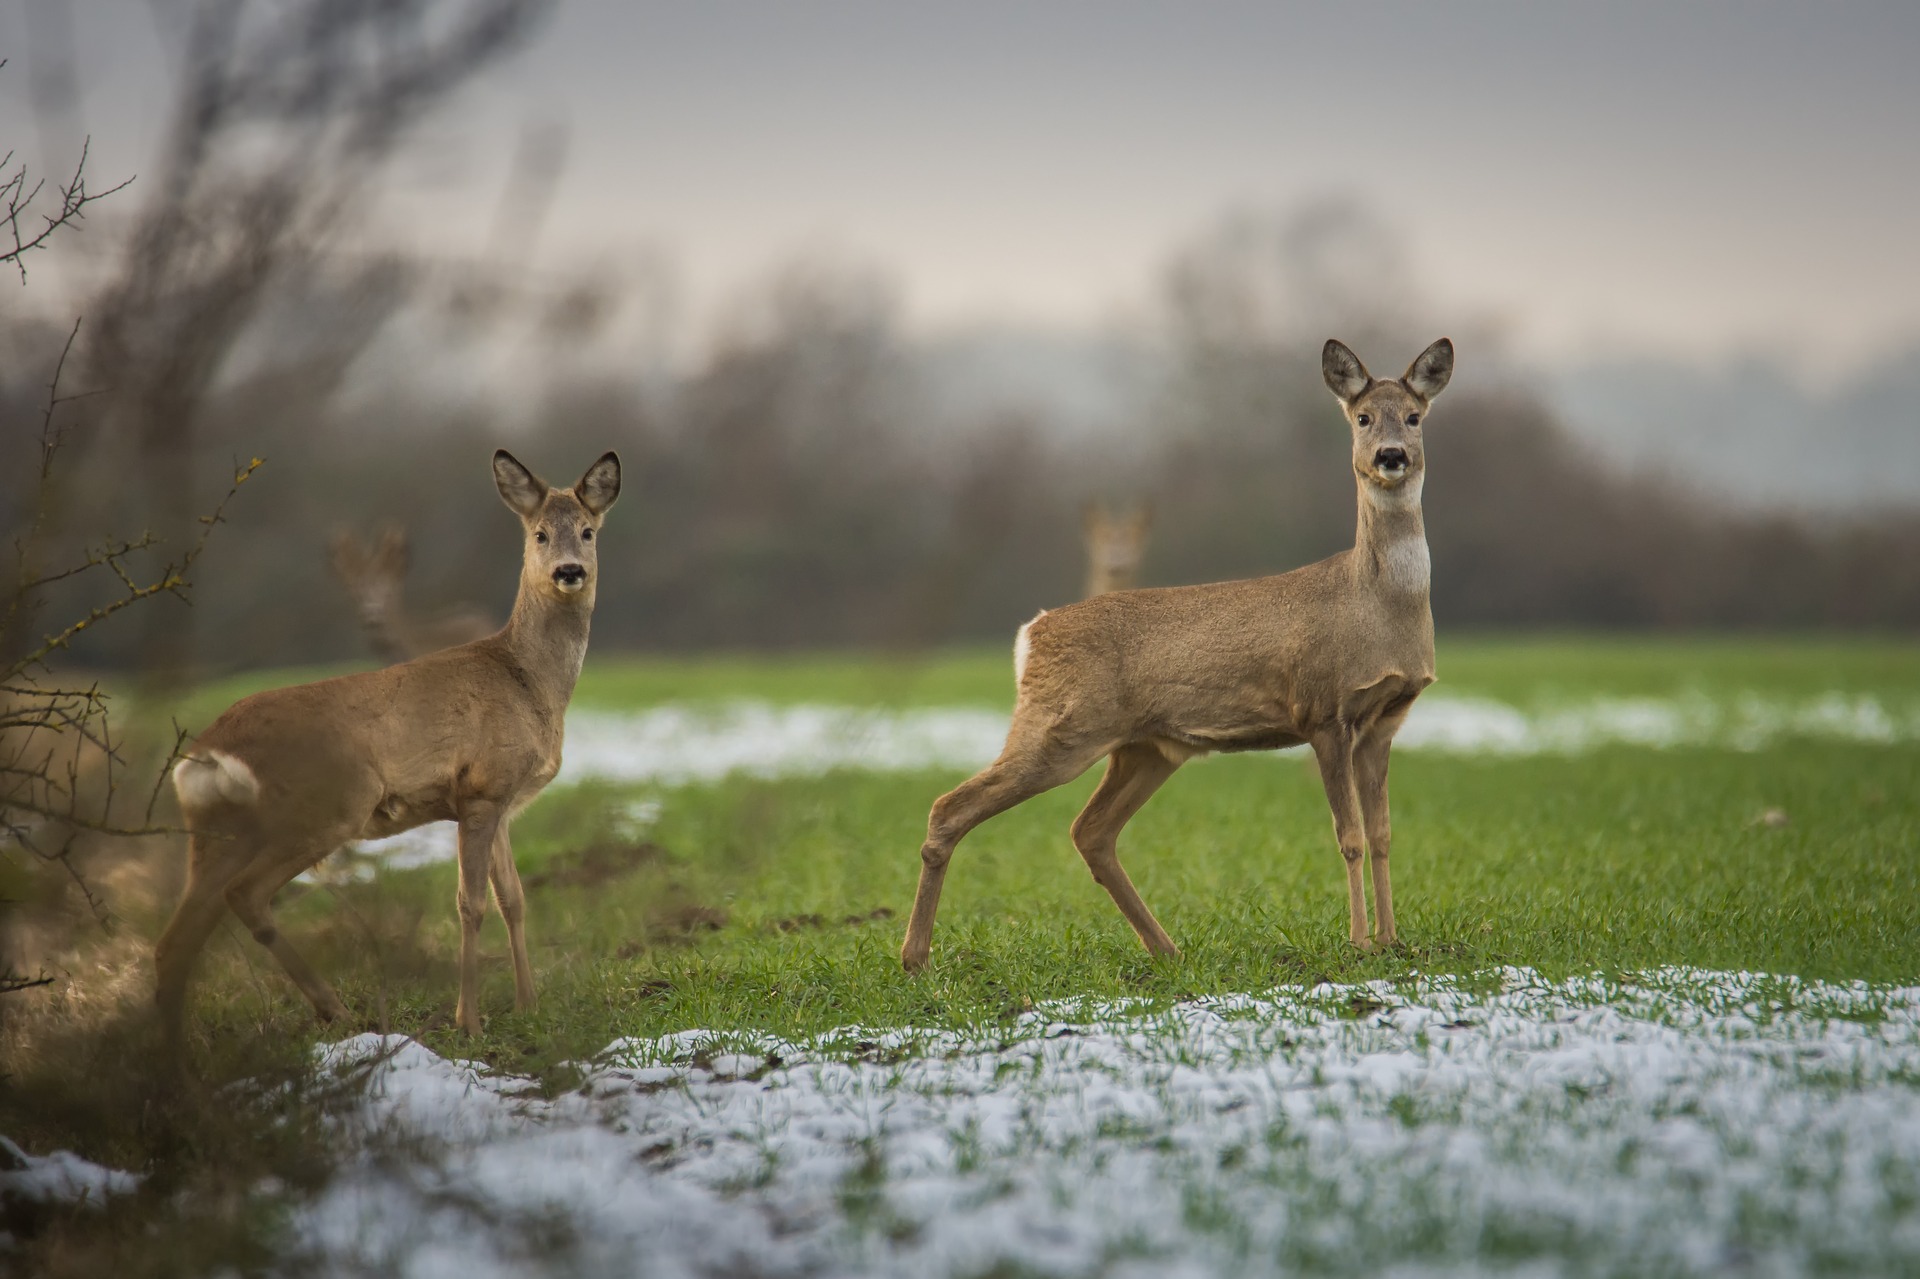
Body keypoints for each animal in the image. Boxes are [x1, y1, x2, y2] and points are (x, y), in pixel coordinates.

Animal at [900, 338, 1452, 972]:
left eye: (1413, 417)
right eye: (1361, 418)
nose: (1391, 455)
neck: (1377, 605)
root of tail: (1030, 634)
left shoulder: (1385, 719)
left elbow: (1383, 835)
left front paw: (1392, 942)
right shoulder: (1323, 713)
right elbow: (1351, 837)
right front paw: (1359, 943)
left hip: (1145, 748)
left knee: (1090, 831)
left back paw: (1166, 948)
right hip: (1060, 727)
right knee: (950, 807)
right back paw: (914, 958)